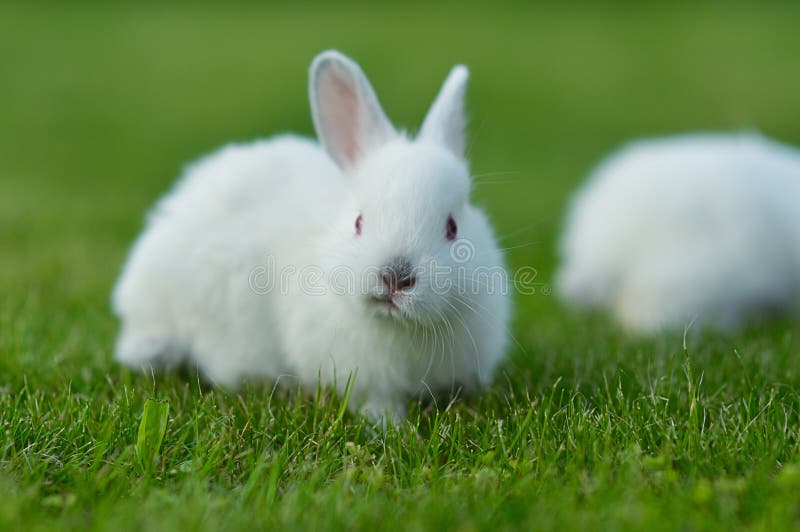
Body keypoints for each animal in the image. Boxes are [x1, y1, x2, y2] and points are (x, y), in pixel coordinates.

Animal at [112, 50, 511, 423]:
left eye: (452, 227)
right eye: (359, 222)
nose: (395, 278)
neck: (401, 328)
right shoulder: (361, 377)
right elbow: (377, 402)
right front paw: (388, 426)